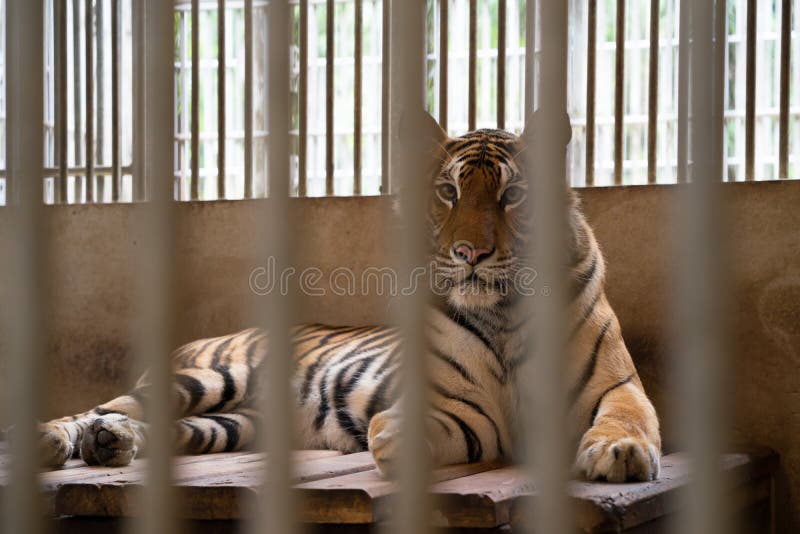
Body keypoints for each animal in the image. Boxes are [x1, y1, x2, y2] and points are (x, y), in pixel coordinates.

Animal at [37, 114, 661, 483]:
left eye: (513, 195)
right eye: (448, 191)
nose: (470, 253)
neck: (503, 311)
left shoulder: (615, 385)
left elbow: (627, 417)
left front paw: (620, 453)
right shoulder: (468, 410)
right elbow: (438, 429)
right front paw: (395, 434)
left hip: (239, 422)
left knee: (169, 426)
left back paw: (109, 444)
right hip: (211, 376)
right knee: (100, 406)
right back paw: (55, 438)